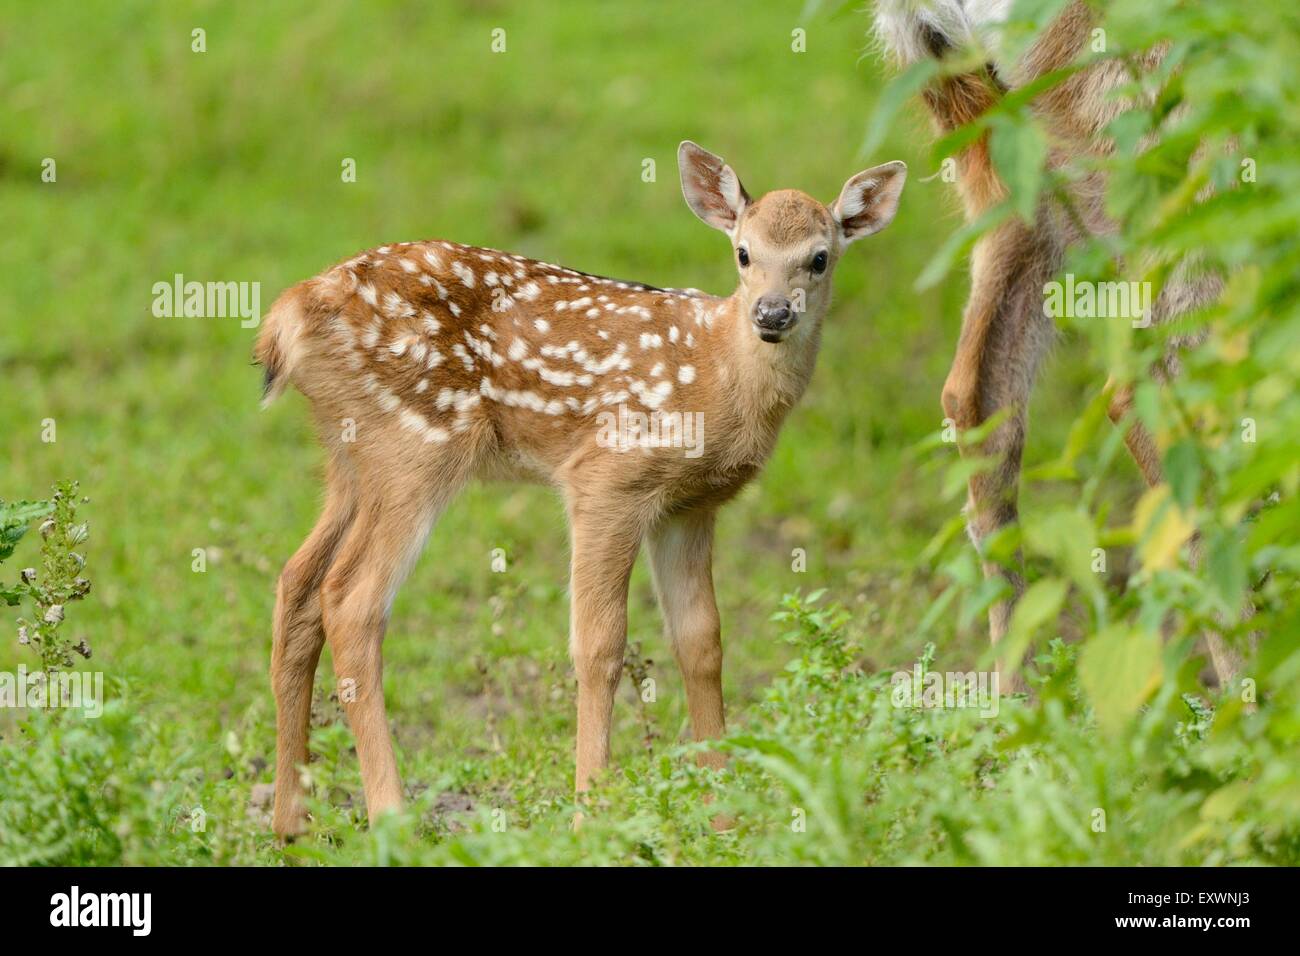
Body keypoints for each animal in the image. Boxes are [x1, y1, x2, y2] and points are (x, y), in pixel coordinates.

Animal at [256, 141, 907, 835]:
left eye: (820, 256)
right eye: (743, 252)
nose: (773, 313)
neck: (716, 375)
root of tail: (292, 310)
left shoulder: (690, 506)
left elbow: (701, 640)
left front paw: (722, 814)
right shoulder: (608, 477)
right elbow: (600, 645)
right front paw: (590, 811)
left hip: (350, 458)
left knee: (298, 583)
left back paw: (291, 821)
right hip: (413, 445)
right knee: (352, 602)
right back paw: (392, 816)